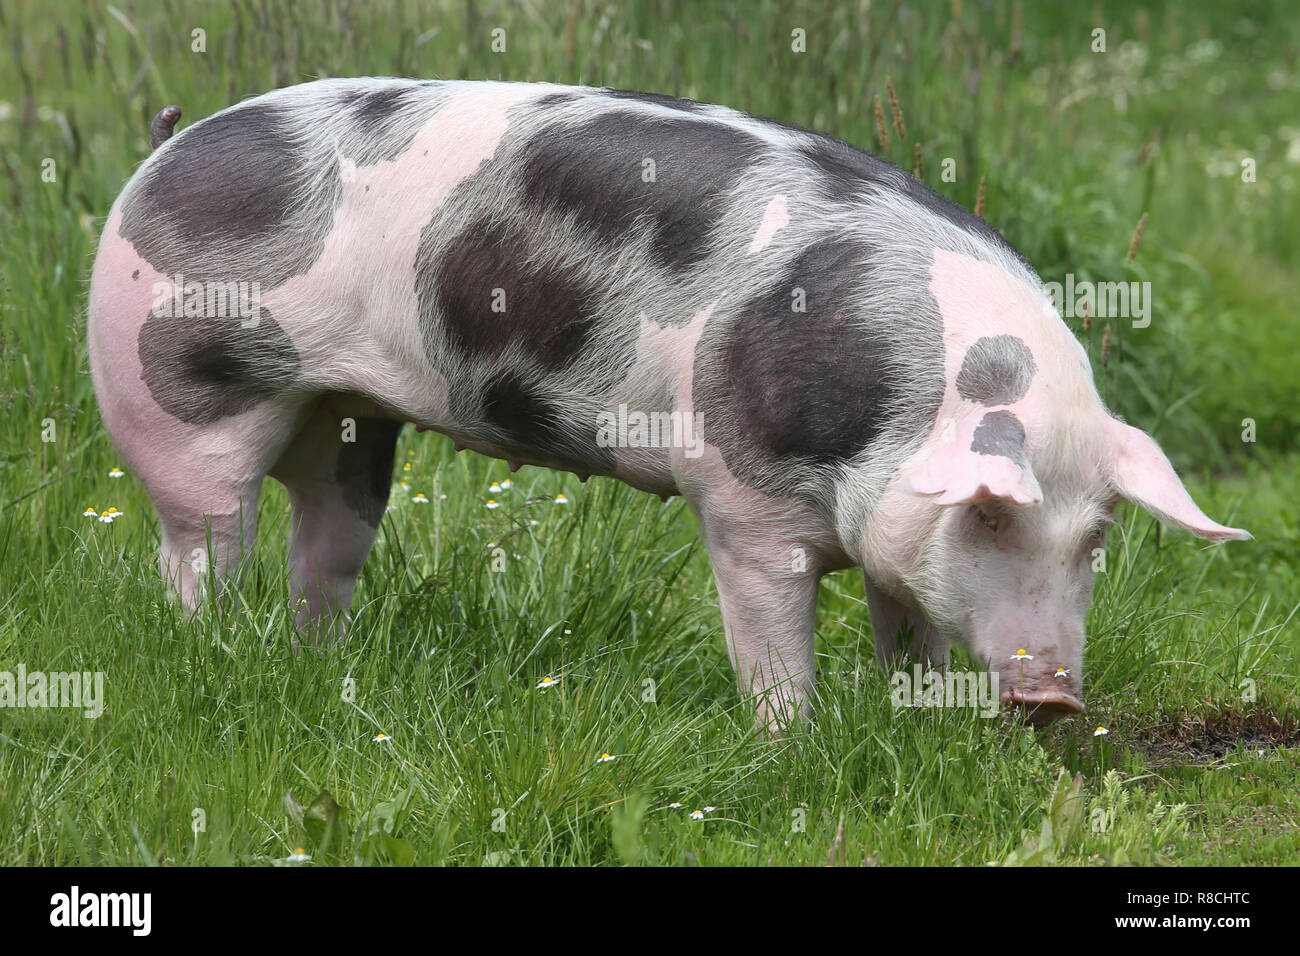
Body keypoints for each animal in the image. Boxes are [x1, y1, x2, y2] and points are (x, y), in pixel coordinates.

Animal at [87, 79, 1249, 730]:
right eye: (991, 516)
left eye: (1094, 536)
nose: (1053, 696)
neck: (901, 406)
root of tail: (166, 144)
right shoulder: (739, 499)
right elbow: (771, 641)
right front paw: (794, 745)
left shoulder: (892, 539)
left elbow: (909, 627)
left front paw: (918, 727)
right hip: (175, 395)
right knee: (197, 545)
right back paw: (212, 653)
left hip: (347, 420)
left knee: (323, 543)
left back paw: (315, 663)